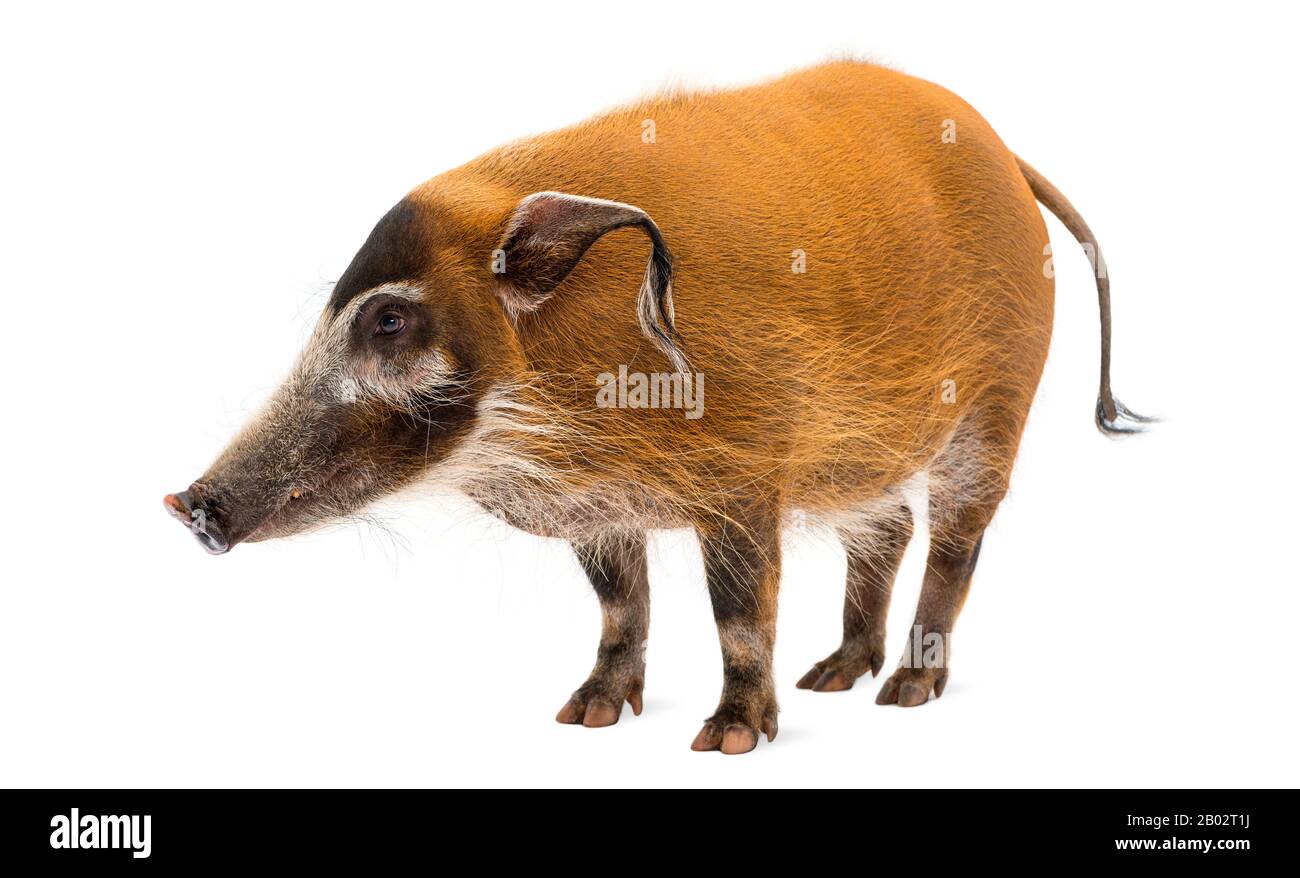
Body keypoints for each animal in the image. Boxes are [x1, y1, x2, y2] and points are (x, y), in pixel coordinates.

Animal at [164, 61, 1147, 754]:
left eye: (390, 319)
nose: (188, 504)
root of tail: (1008, 153)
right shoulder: (600, 509)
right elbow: (619, 604)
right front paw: (584, 719)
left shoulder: (745, 478)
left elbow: (739, 611)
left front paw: (728, 741)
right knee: (888, 527)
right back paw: (833, 678)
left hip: (994, 412)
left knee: (953, 544)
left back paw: (903, 692)